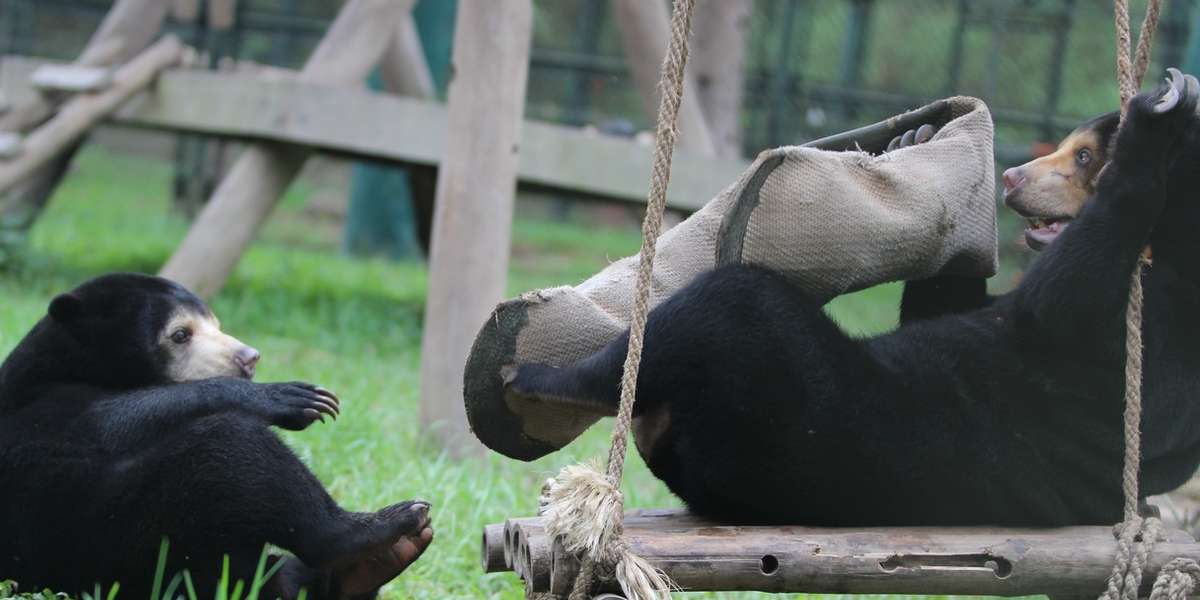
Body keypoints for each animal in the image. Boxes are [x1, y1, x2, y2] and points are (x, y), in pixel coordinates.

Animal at [0, 273, 432, 599]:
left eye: (218, 324)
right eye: (180, 334)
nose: (249, 357)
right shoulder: (45, 408)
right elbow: (117, 420)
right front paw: (296, 398)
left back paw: (371, 567)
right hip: (120, 532)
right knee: (233, 451)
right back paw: (386, 528)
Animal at [504, 69, 1200, 527]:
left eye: (1083, 157)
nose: (1010, 177)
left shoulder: (1150, 327)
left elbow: (1066, 299)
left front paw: (1159, 117)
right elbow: (952, 305)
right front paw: (912, 142)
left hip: (783, 408)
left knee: (729, 305)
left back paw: (536, 380)